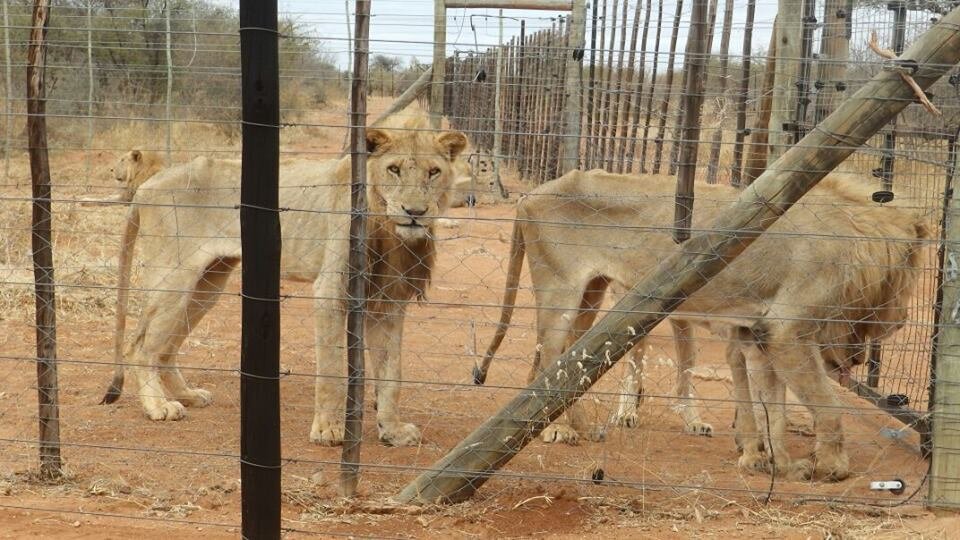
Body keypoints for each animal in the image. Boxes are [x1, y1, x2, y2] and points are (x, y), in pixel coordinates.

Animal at [100, 113, 468, 447]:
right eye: (394, 169)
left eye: (433, 172)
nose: (415, 212)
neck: (386, 224)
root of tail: (148, 185)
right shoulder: (330, 292)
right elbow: (332, 369)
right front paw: (328, 431)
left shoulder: (389, 301)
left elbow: (392, 373)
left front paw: (393, 431)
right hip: (175, 277)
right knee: (139, 346)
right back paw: (158, 406)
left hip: (209, 282)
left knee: (165, 347)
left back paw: (188, 394)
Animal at [475, 169, 927, 481]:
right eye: (912, 274)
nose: (902, 319)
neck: (855, 237)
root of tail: (529, 196)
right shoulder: (787, 330)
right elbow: (825, 404)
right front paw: (832, 467)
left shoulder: (759, 331)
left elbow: (774, 408)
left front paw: (779, 464)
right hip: (561, 290)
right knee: (552, 353)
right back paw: (563, 430)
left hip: (592, 293)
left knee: (565, 360)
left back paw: (563, 427)